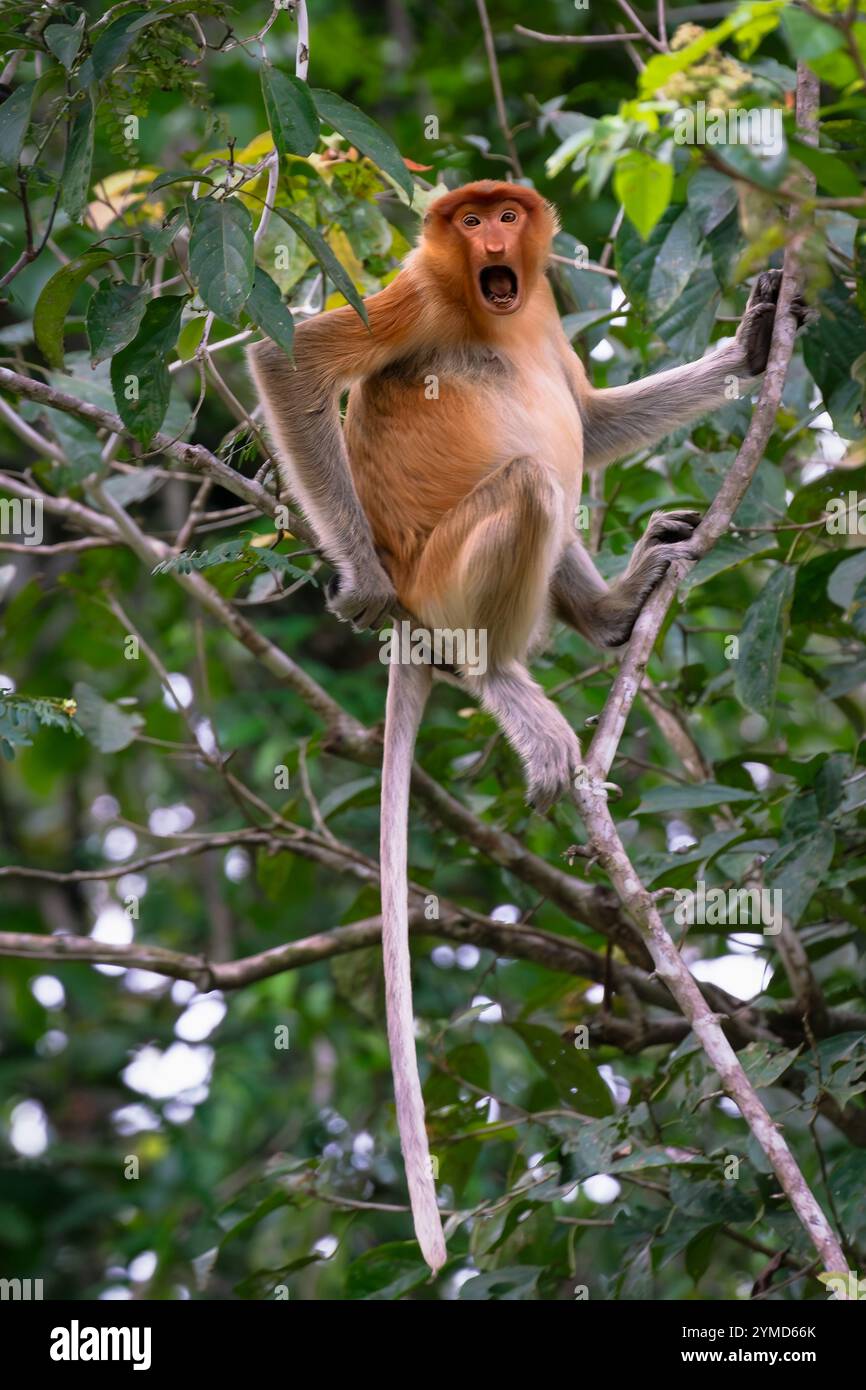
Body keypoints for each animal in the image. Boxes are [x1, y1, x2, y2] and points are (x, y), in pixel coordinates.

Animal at [248, 180, 797, 1272]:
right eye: (467, 220)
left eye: (504, 212)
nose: (494, 234)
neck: (490, 307)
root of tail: (425, 619)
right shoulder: (419, 292)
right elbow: (290, 359)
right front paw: (354, 586)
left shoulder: (540, 310)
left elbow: (587, 413)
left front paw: (755, 343)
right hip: (447, 576)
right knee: (534, 483)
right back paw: (498, 674)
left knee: (560, 447)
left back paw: (612, 610)